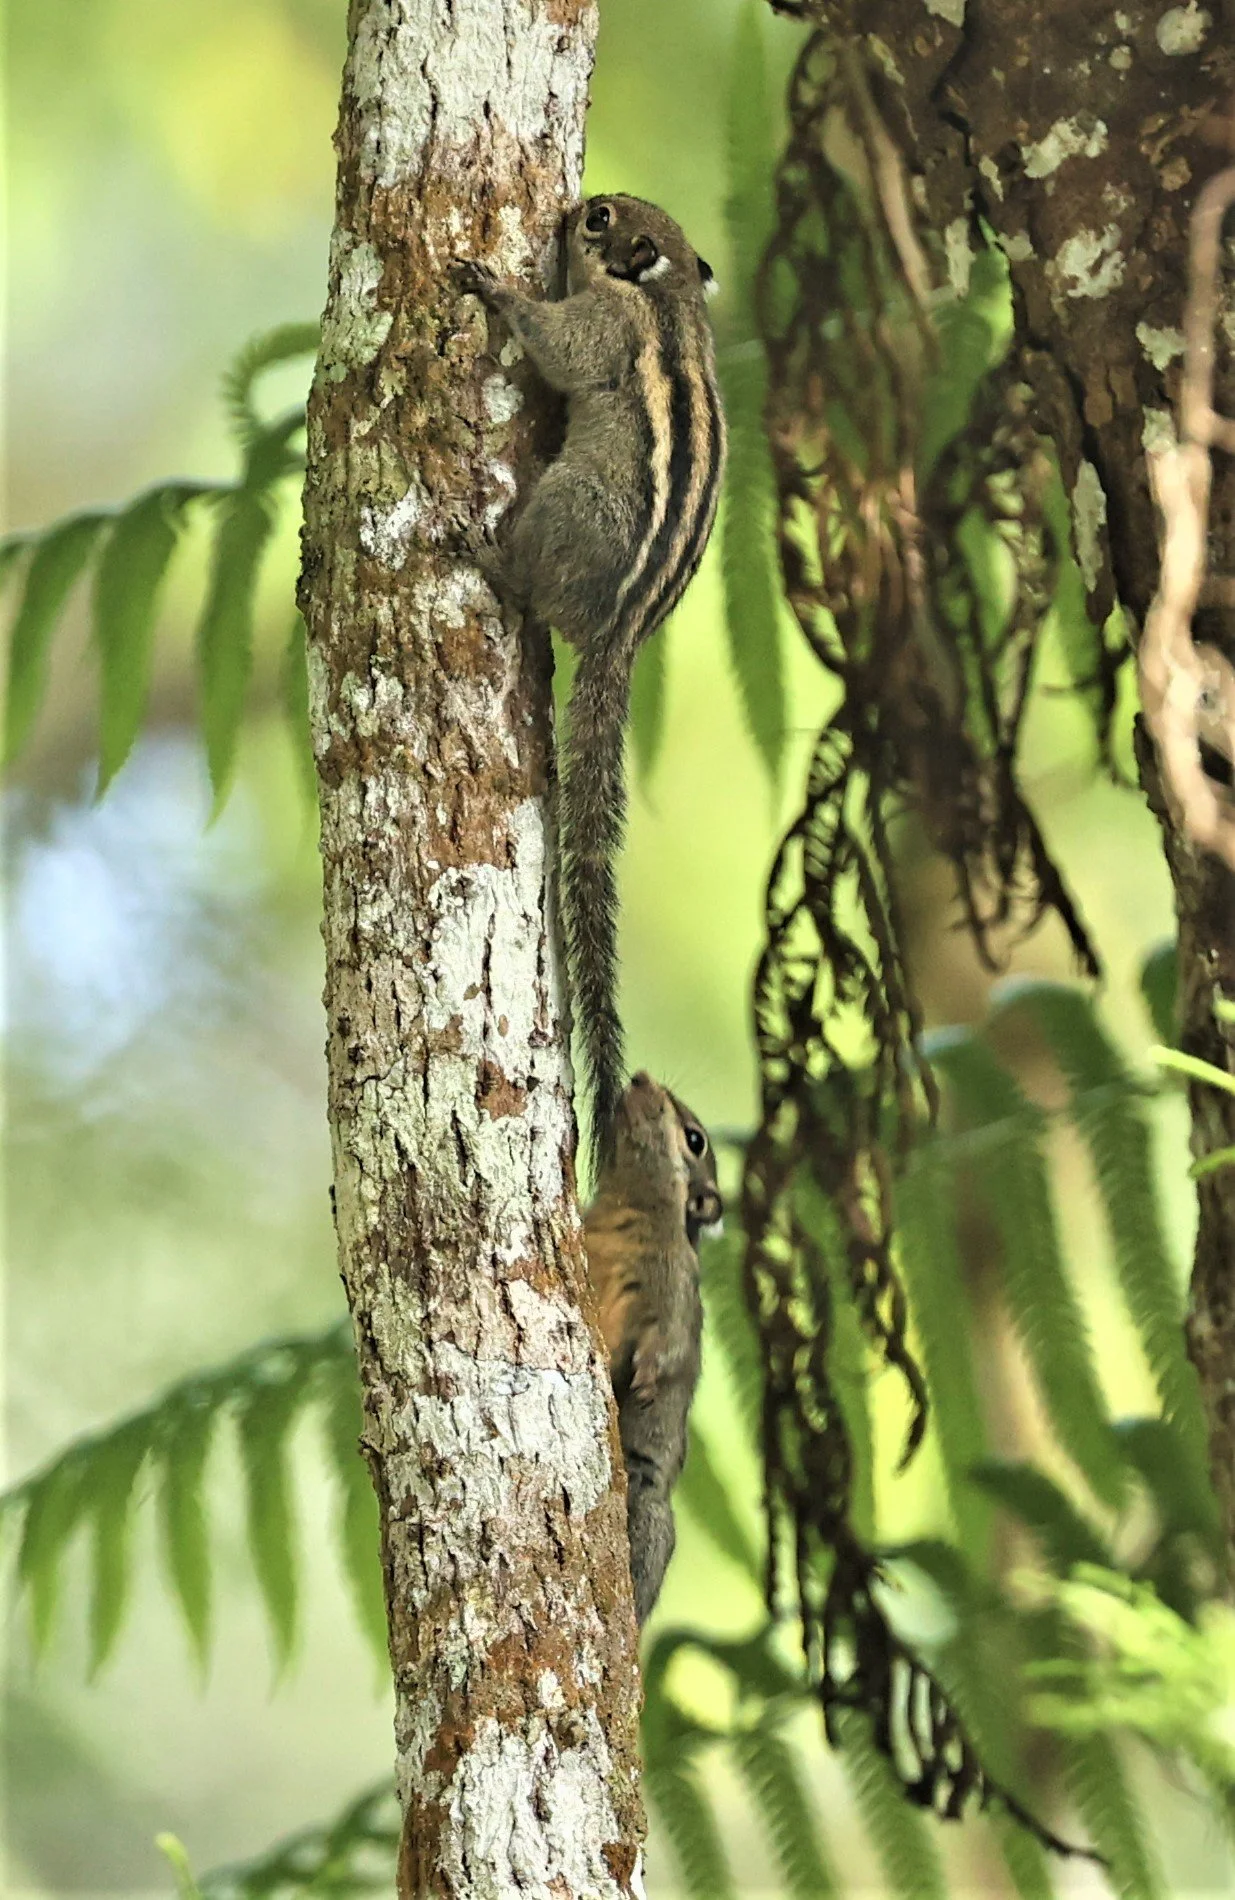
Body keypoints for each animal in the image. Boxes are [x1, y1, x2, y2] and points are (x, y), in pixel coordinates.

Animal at [454, 197, 726, 1176]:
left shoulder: (602, 327)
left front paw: (497, 290)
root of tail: (621, 635)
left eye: (603, 219)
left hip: (566, 503)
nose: (576, 205)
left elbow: (560, 348)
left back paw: (491, 559)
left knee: (530, 587)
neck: (664, 294)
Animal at [582, 1071, 723, 1624]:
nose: (640, 1077)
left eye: (695, 1139)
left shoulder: (677, 1292)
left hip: (647, 1513)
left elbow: (668, 1347)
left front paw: (644, 1378)